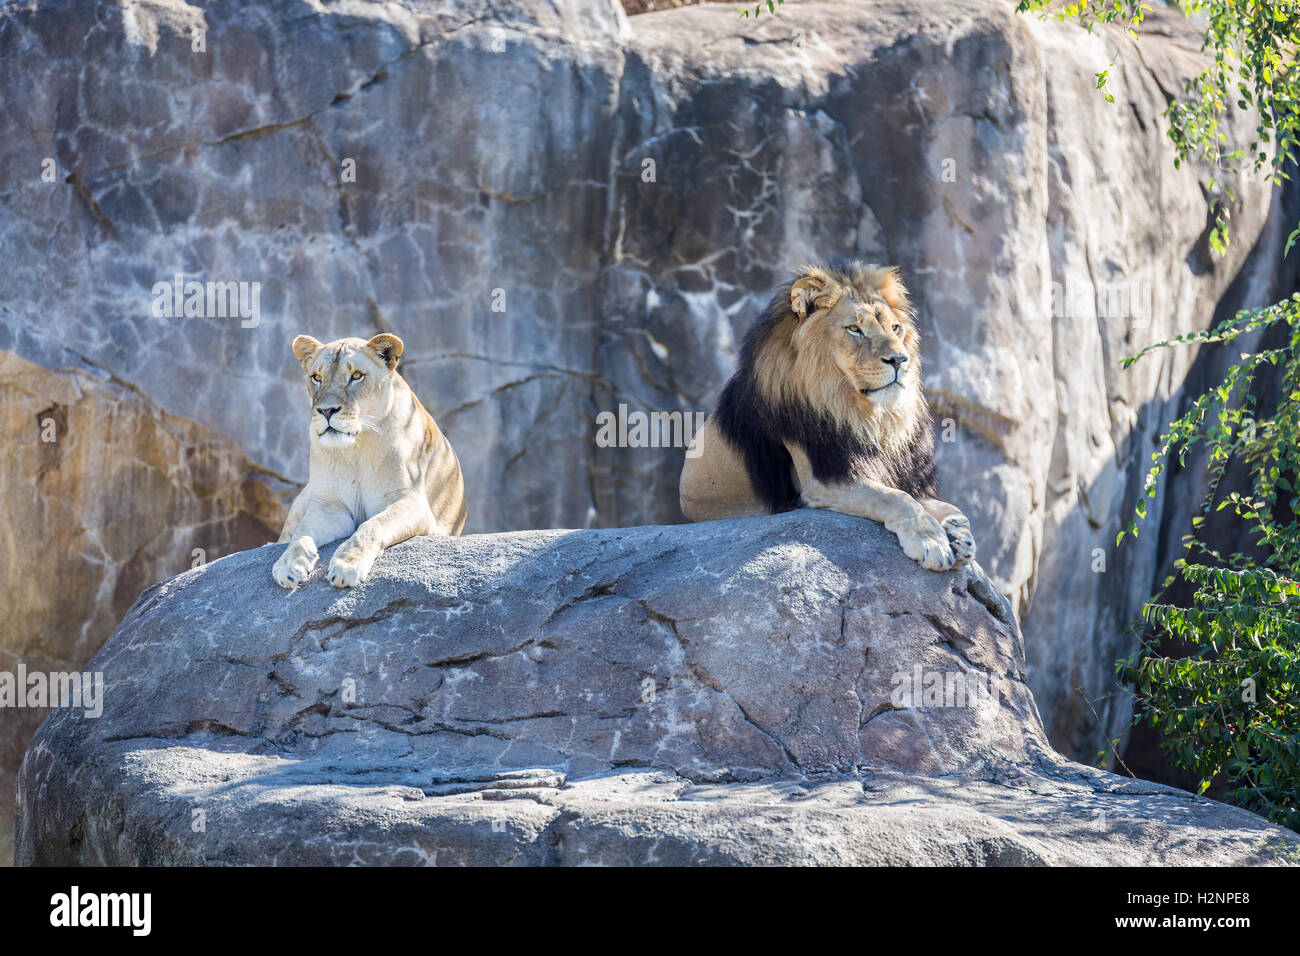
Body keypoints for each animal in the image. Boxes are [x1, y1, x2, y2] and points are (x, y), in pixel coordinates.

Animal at [273, 332, 466, 590]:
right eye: (317, 377)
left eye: (356, 376)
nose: (326, 411)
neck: (354, 449)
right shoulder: (329, 506)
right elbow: (301, 533)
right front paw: (288, 564)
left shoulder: (411, 502)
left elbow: (372, 526)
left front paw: (346, 565)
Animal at [679, 259, 975, 572]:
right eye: (855, 329)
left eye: (895, 328)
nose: (900, 360)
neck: (866, 414)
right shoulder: (824, 478)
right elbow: (896, 498)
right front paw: (932, 542)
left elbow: (937, 503)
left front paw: (959, 533)